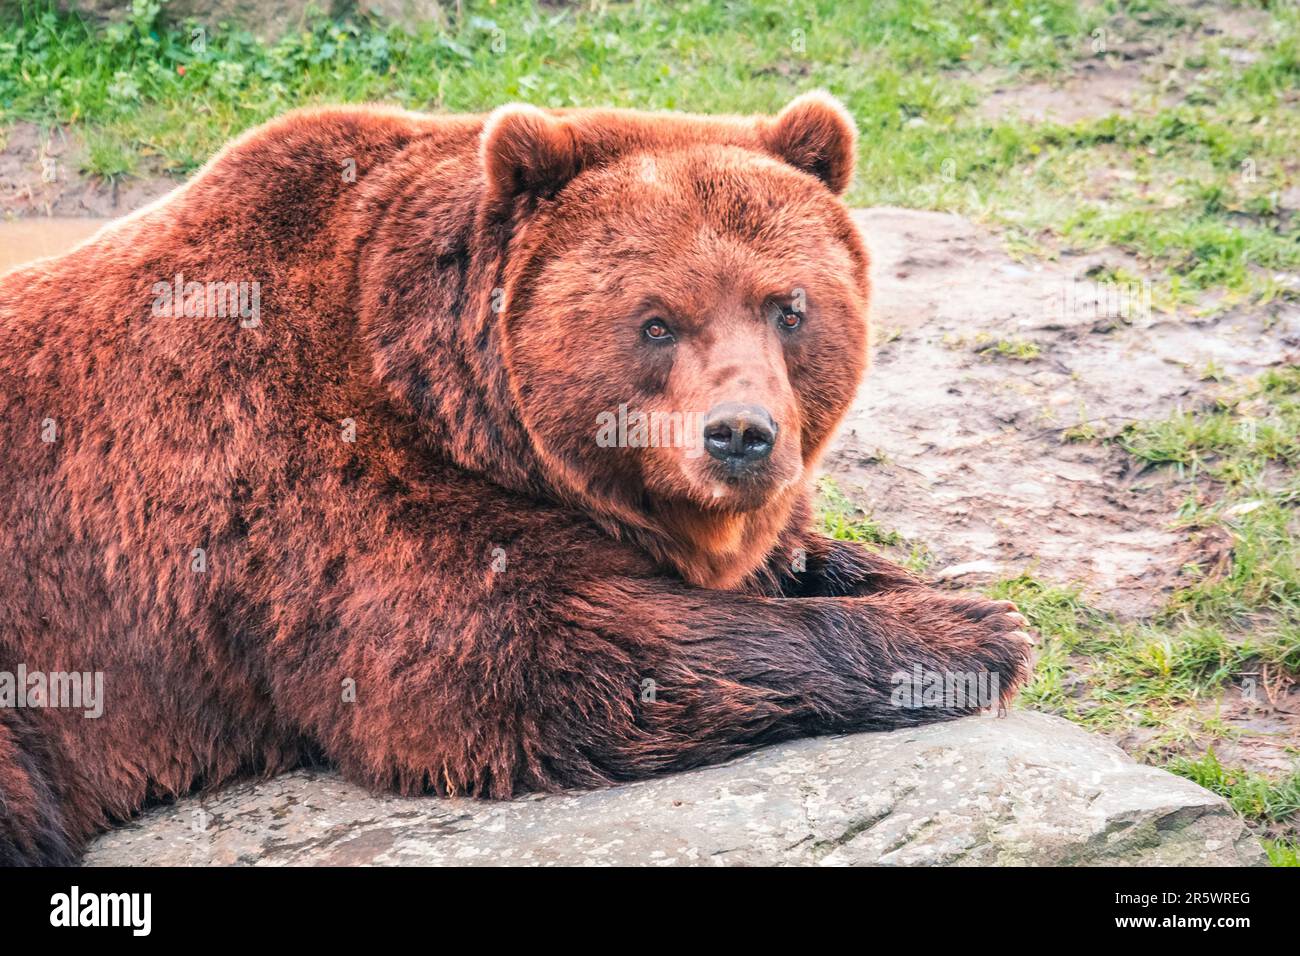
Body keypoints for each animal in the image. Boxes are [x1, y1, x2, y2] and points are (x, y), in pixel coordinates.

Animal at [0, 93, 1034, 865]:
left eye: (790, 307)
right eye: (657, 321)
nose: (740, 436)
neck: (451, 402)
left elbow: (787, 560)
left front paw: (923, 591)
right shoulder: (312, 489)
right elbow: (547, 657)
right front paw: (974, 633)